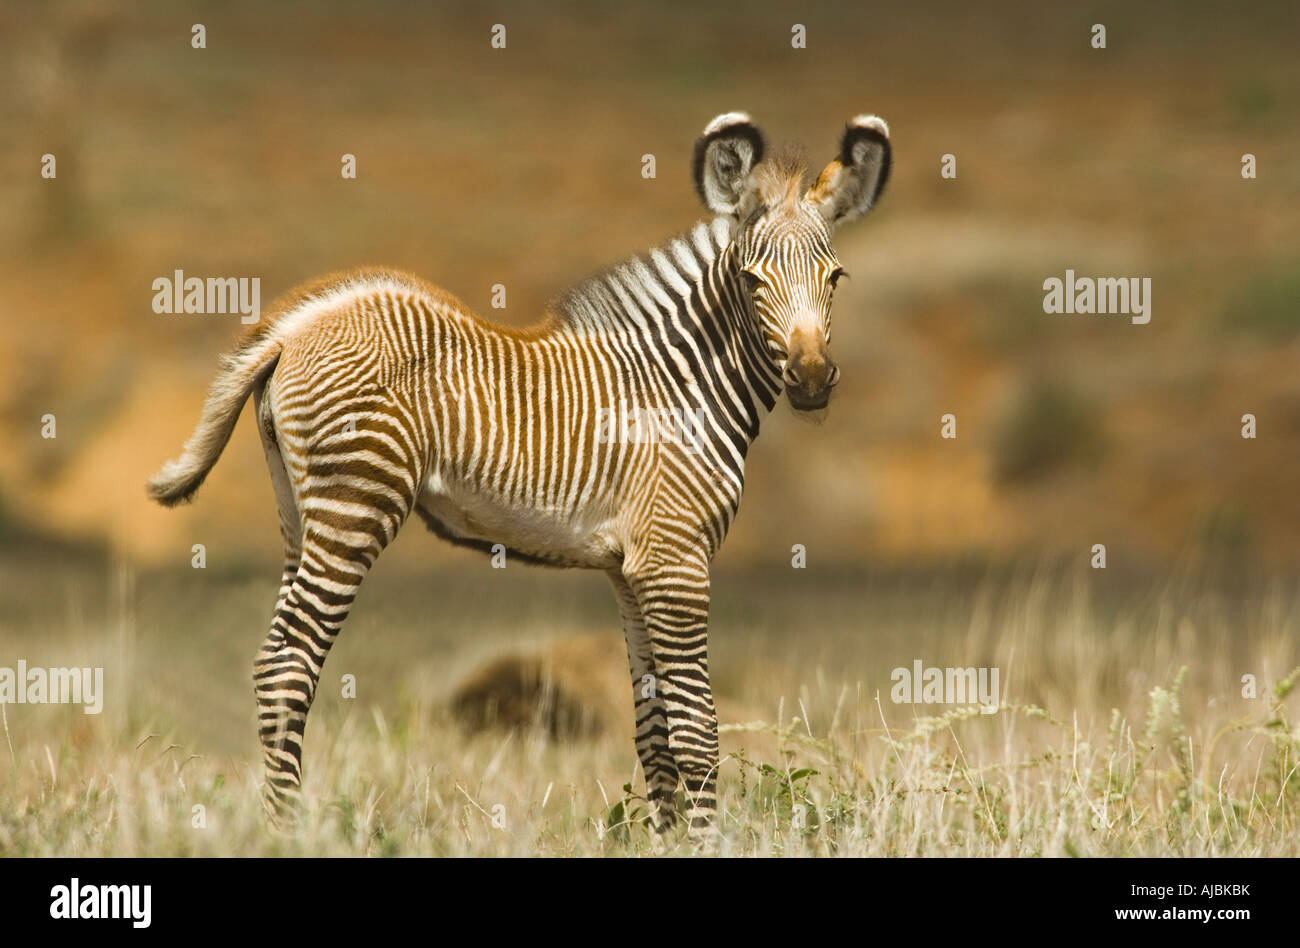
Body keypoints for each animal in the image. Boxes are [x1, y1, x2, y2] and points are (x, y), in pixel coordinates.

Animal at [146, 111, 891, 843]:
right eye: (752, 280)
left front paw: (668, 842)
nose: (812, 379)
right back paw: (287, 831)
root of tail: (292, 326)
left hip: (298, 511)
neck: (680, 385)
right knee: (287, 666)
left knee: (272, 661)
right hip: (355, 502)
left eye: (836, 278)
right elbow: (696, 730)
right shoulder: (676, 561)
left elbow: (653, 734)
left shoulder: (633, 569)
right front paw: (707, 846)